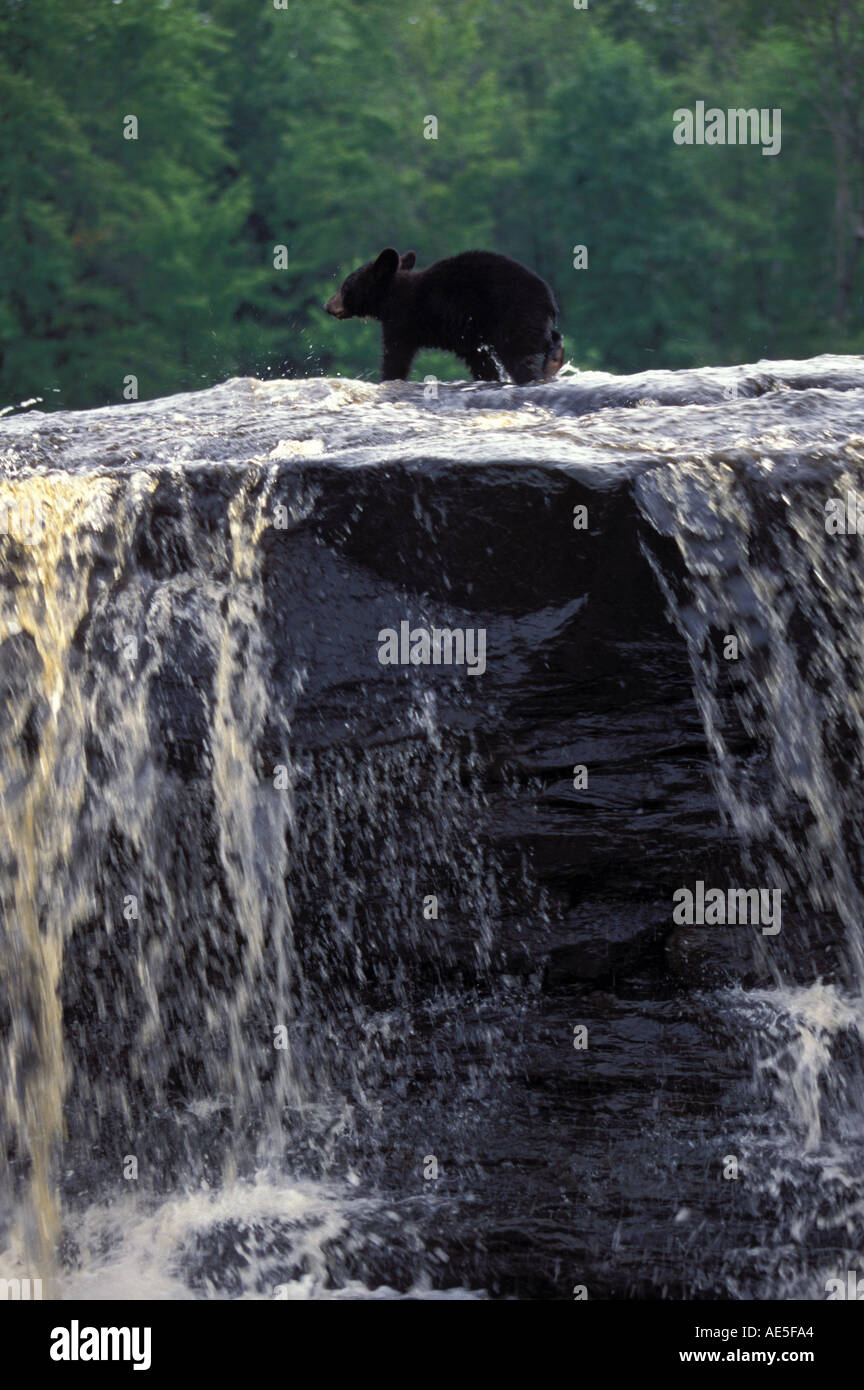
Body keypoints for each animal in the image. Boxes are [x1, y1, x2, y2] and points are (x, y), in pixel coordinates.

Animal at [324, 248, 564, 385]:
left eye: (345, 286)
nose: (327, 305)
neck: (393, 297)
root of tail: (549, 298)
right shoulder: (467, 339)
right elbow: (479, 361)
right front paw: (488, 377)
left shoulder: (403, 321)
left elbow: (396, 355)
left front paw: (388, 378)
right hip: (532, 321)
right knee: (547, 338)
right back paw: (553, 361)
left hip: (513, 316)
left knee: (519, 356)